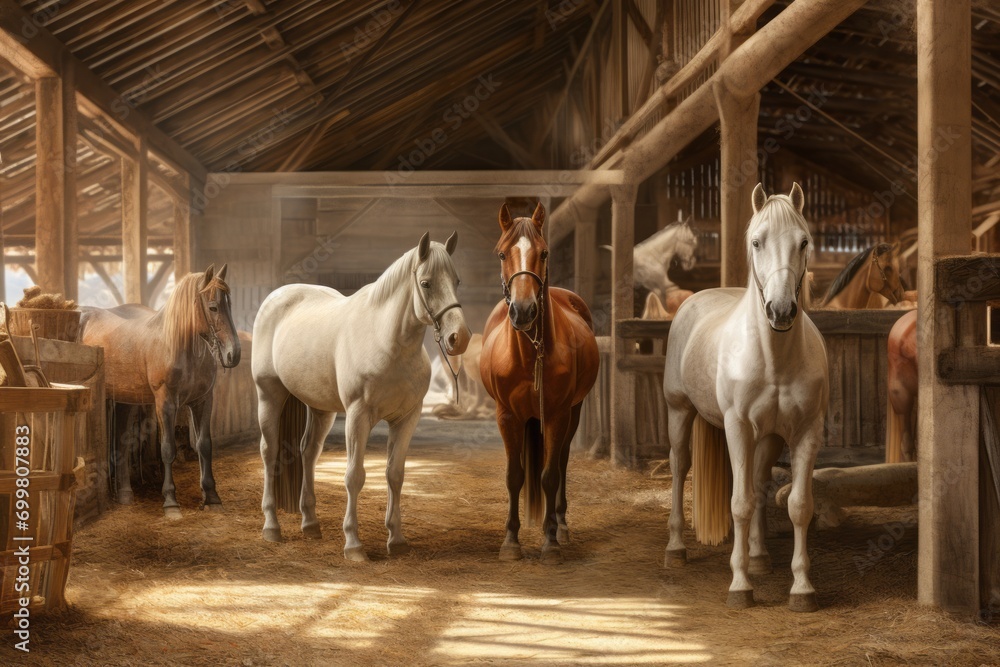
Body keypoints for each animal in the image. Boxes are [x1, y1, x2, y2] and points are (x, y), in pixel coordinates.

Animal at [80, 264, 241, 517]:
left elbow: (205, 445)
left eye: (229, 304)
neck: (177, 346)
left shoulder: (203, 401)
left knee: (121, 440)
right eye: (213, 307)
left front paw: (212, 497)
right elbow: (167, 449)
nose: (233, 354)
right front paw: (171, 501)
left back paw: (125, 494)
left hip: (126, 399)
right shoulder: (165, 403)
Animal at [252, 232, 470, 561]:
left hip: (320, 408)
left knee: (308, 452)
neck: (386, 341)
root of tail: (275, 297)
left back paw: (310, 525)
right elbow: (354, 476)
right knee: (270, 452)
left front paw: (397, 539)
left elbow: (395, 474)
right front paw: (354, 544)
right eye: (426, 283)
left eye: (456, 281)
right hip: (269, 394)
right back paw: (271, 527)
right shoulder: (358, 415)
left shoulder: (407, 418)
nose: (459, 338)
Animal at [480, 203, 600, 564]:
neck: (528, 355)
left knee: (561, 461)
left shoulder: (558, 414)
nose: (523, 311)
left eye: (544, 252)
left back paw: (560, 525)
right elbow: (514, 476)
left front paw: (550, 542)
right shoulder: (507, 416)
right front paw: (511, 542)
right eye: (502, 253)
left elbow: (549, 475)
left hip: (573, 412)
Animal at [662, 183, 829, 612]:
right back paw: (676, 548)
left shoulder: (805, 432)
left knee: (756, 481)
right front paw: (739, 586)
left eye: (803, 241)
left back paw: (758, 557)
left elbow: (798, 506)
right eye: (757, 241)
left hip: (766, 438)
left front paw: (801, 588)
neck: (775, 358)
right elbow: (739, 504)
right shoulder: (737, 427)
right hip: (679, 412)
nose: (781, 311)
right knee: (680, 466)